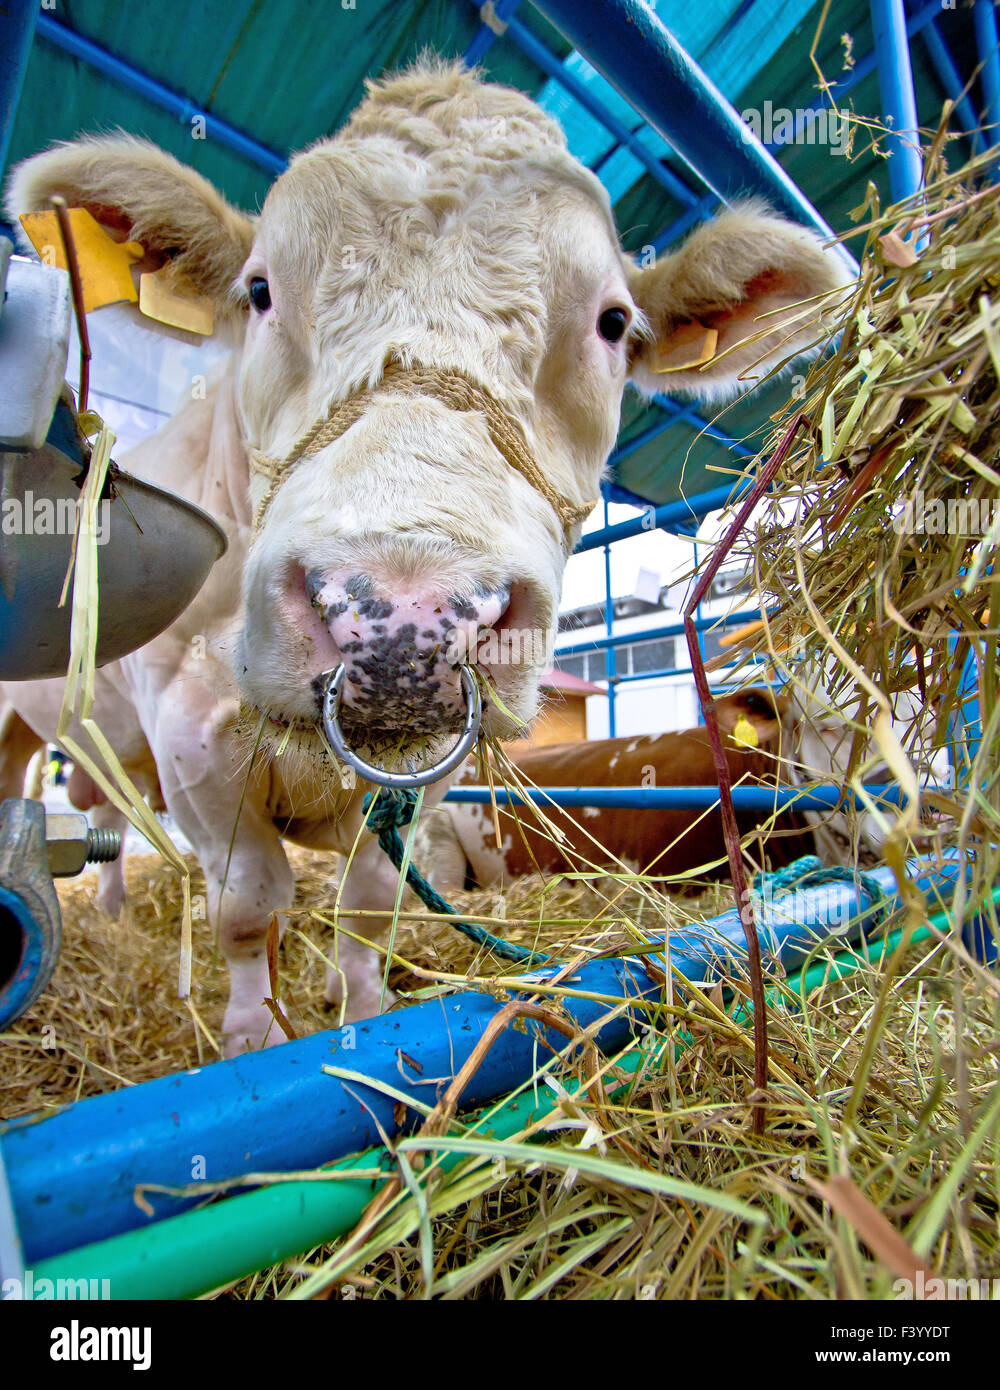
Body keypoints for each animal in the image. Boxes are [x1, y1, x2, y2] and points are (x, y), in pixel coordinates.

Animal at [2, 61, 848, 1051]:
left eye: (611, 322)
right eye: (260, 291)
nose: (402, 616)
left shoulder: (433, 773)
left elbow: (369, 909)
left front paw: (358, 1013)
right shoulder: (190, 733)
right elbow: (248, 905)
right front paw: (253, 1035)